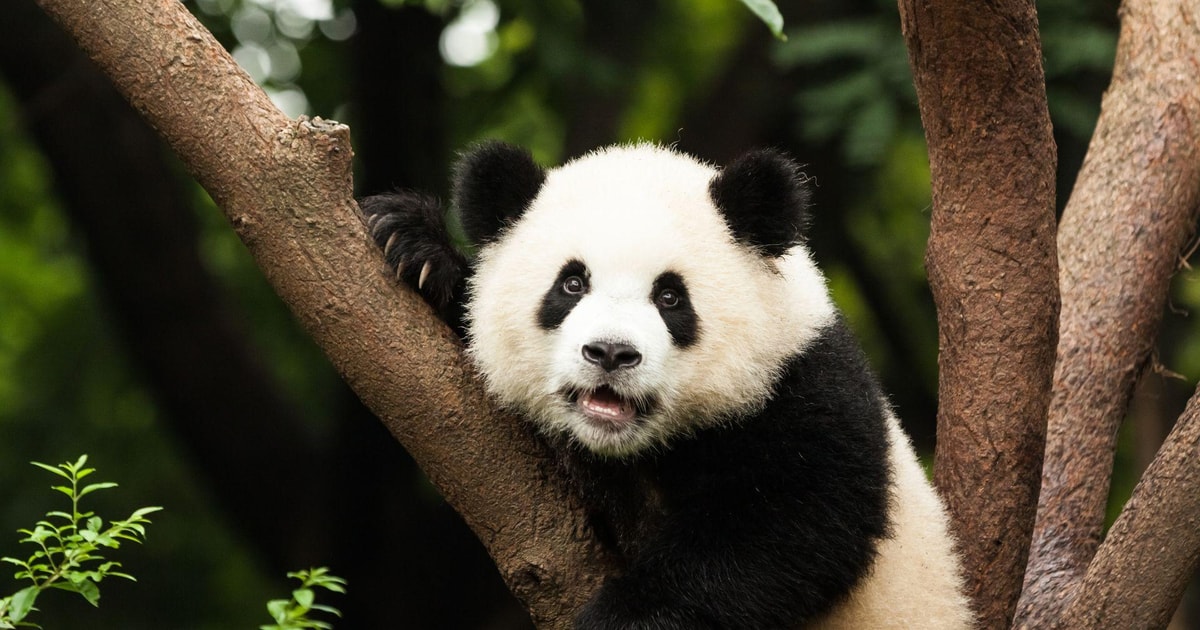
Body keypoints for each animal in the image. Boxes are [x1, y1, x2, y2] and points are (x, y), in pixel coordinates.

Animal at [360, 142, 973, 629]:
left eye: (671, 297)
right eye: (571, 284)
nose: (611, 352)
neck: (634, 450)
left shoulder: (805, 386)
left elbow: (793, 527)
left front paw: (621, 620)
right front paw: (414, 247)